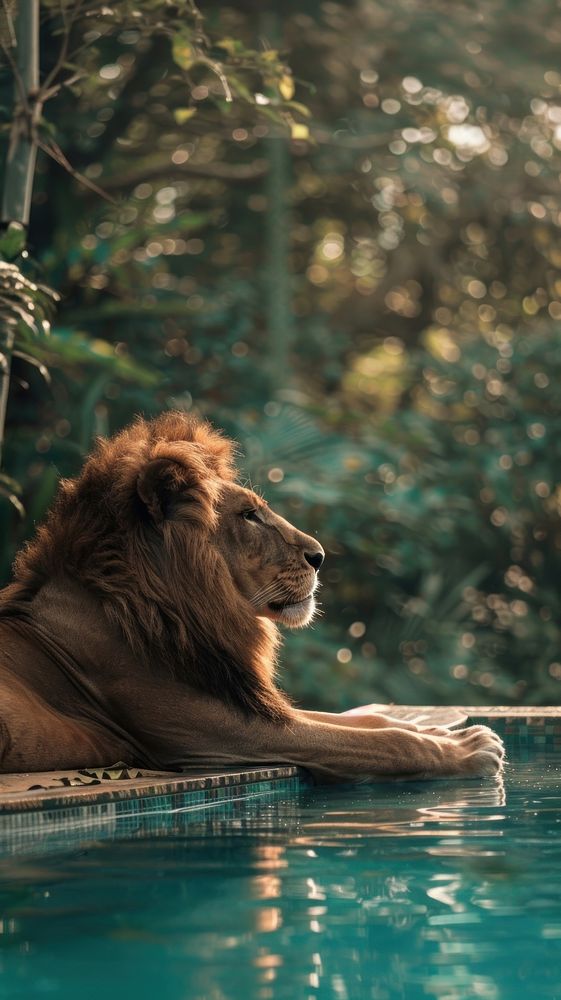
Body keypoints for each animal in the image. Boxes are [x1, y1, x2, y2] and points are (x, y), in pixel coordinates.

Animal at [0, 412, 504, 780]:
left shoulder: (245, 701)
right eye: (249, 515)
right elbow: (380, 742)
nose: (320, 556)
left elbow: (362, 722)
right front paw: (468, 748)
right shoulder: (224, 737)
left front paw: (433, 726)